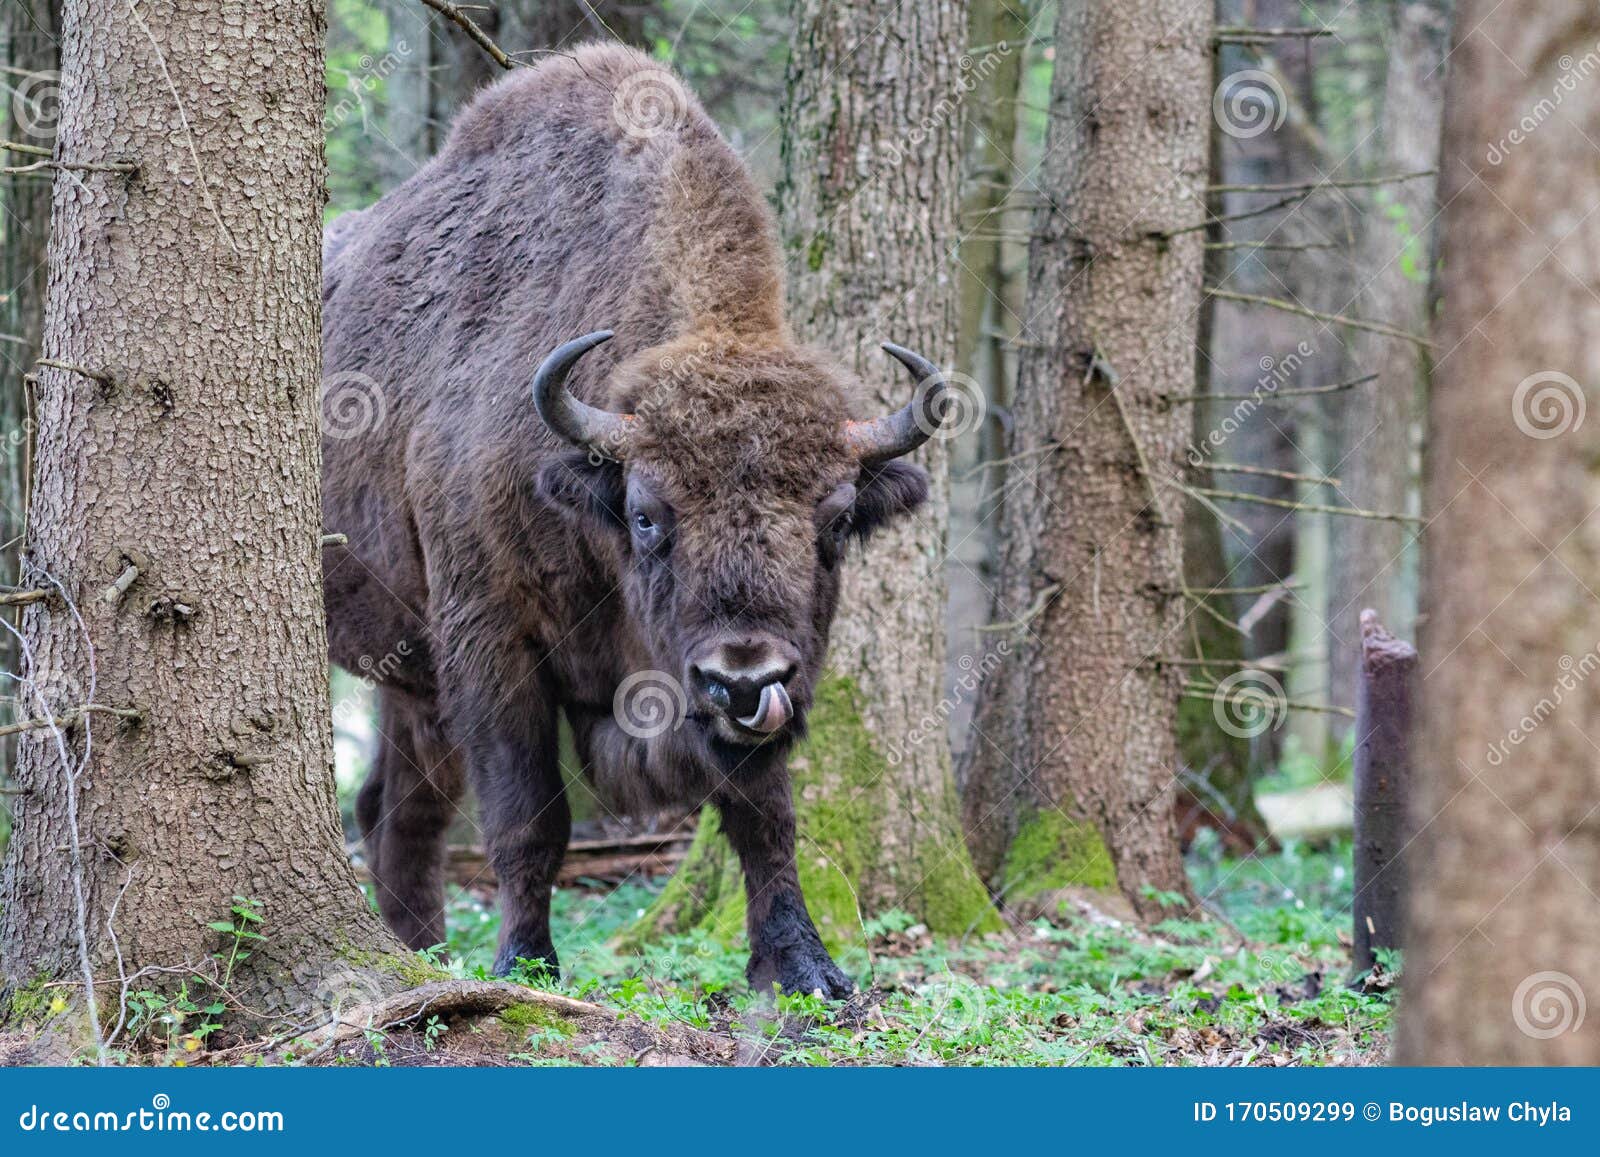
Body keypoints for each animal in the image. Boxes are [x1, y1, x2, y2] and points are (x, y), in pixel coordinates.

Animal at [320, 43, 947, 997]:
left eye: (837, 519)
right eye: (649, 515)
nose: (740, 678)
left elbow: (765, 814)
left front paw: (805, 966)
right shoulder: (492, 643)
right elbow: (529, 817)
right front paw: (525, 964)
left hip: (408, 678)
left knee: (396, 808)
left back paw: (416, 953)